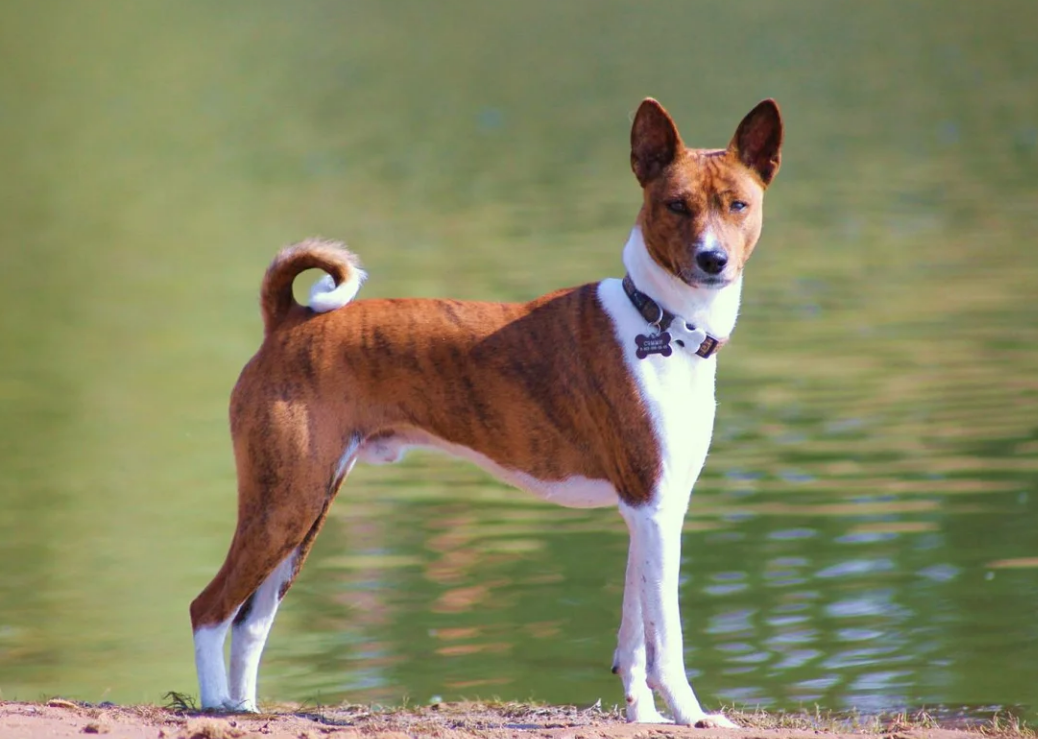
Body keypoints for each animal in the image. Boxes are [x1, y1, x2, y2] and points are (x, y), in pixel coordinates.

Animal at [190, 97, 782, 725]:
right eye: (677, 205)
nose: (712, 259)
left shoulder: (647, 511)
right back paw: (213, 706)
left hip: (304, 510)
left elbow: (633, 639)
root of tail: (288, 320)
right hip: (284, 502)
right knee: (209, 609)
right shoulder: (655, 509)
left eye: (738, 204)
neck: (661, 324)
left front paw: (642, 716)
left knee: (252, 622)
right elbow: (665, 639)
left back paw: (243, 708)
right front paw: (692, 715)